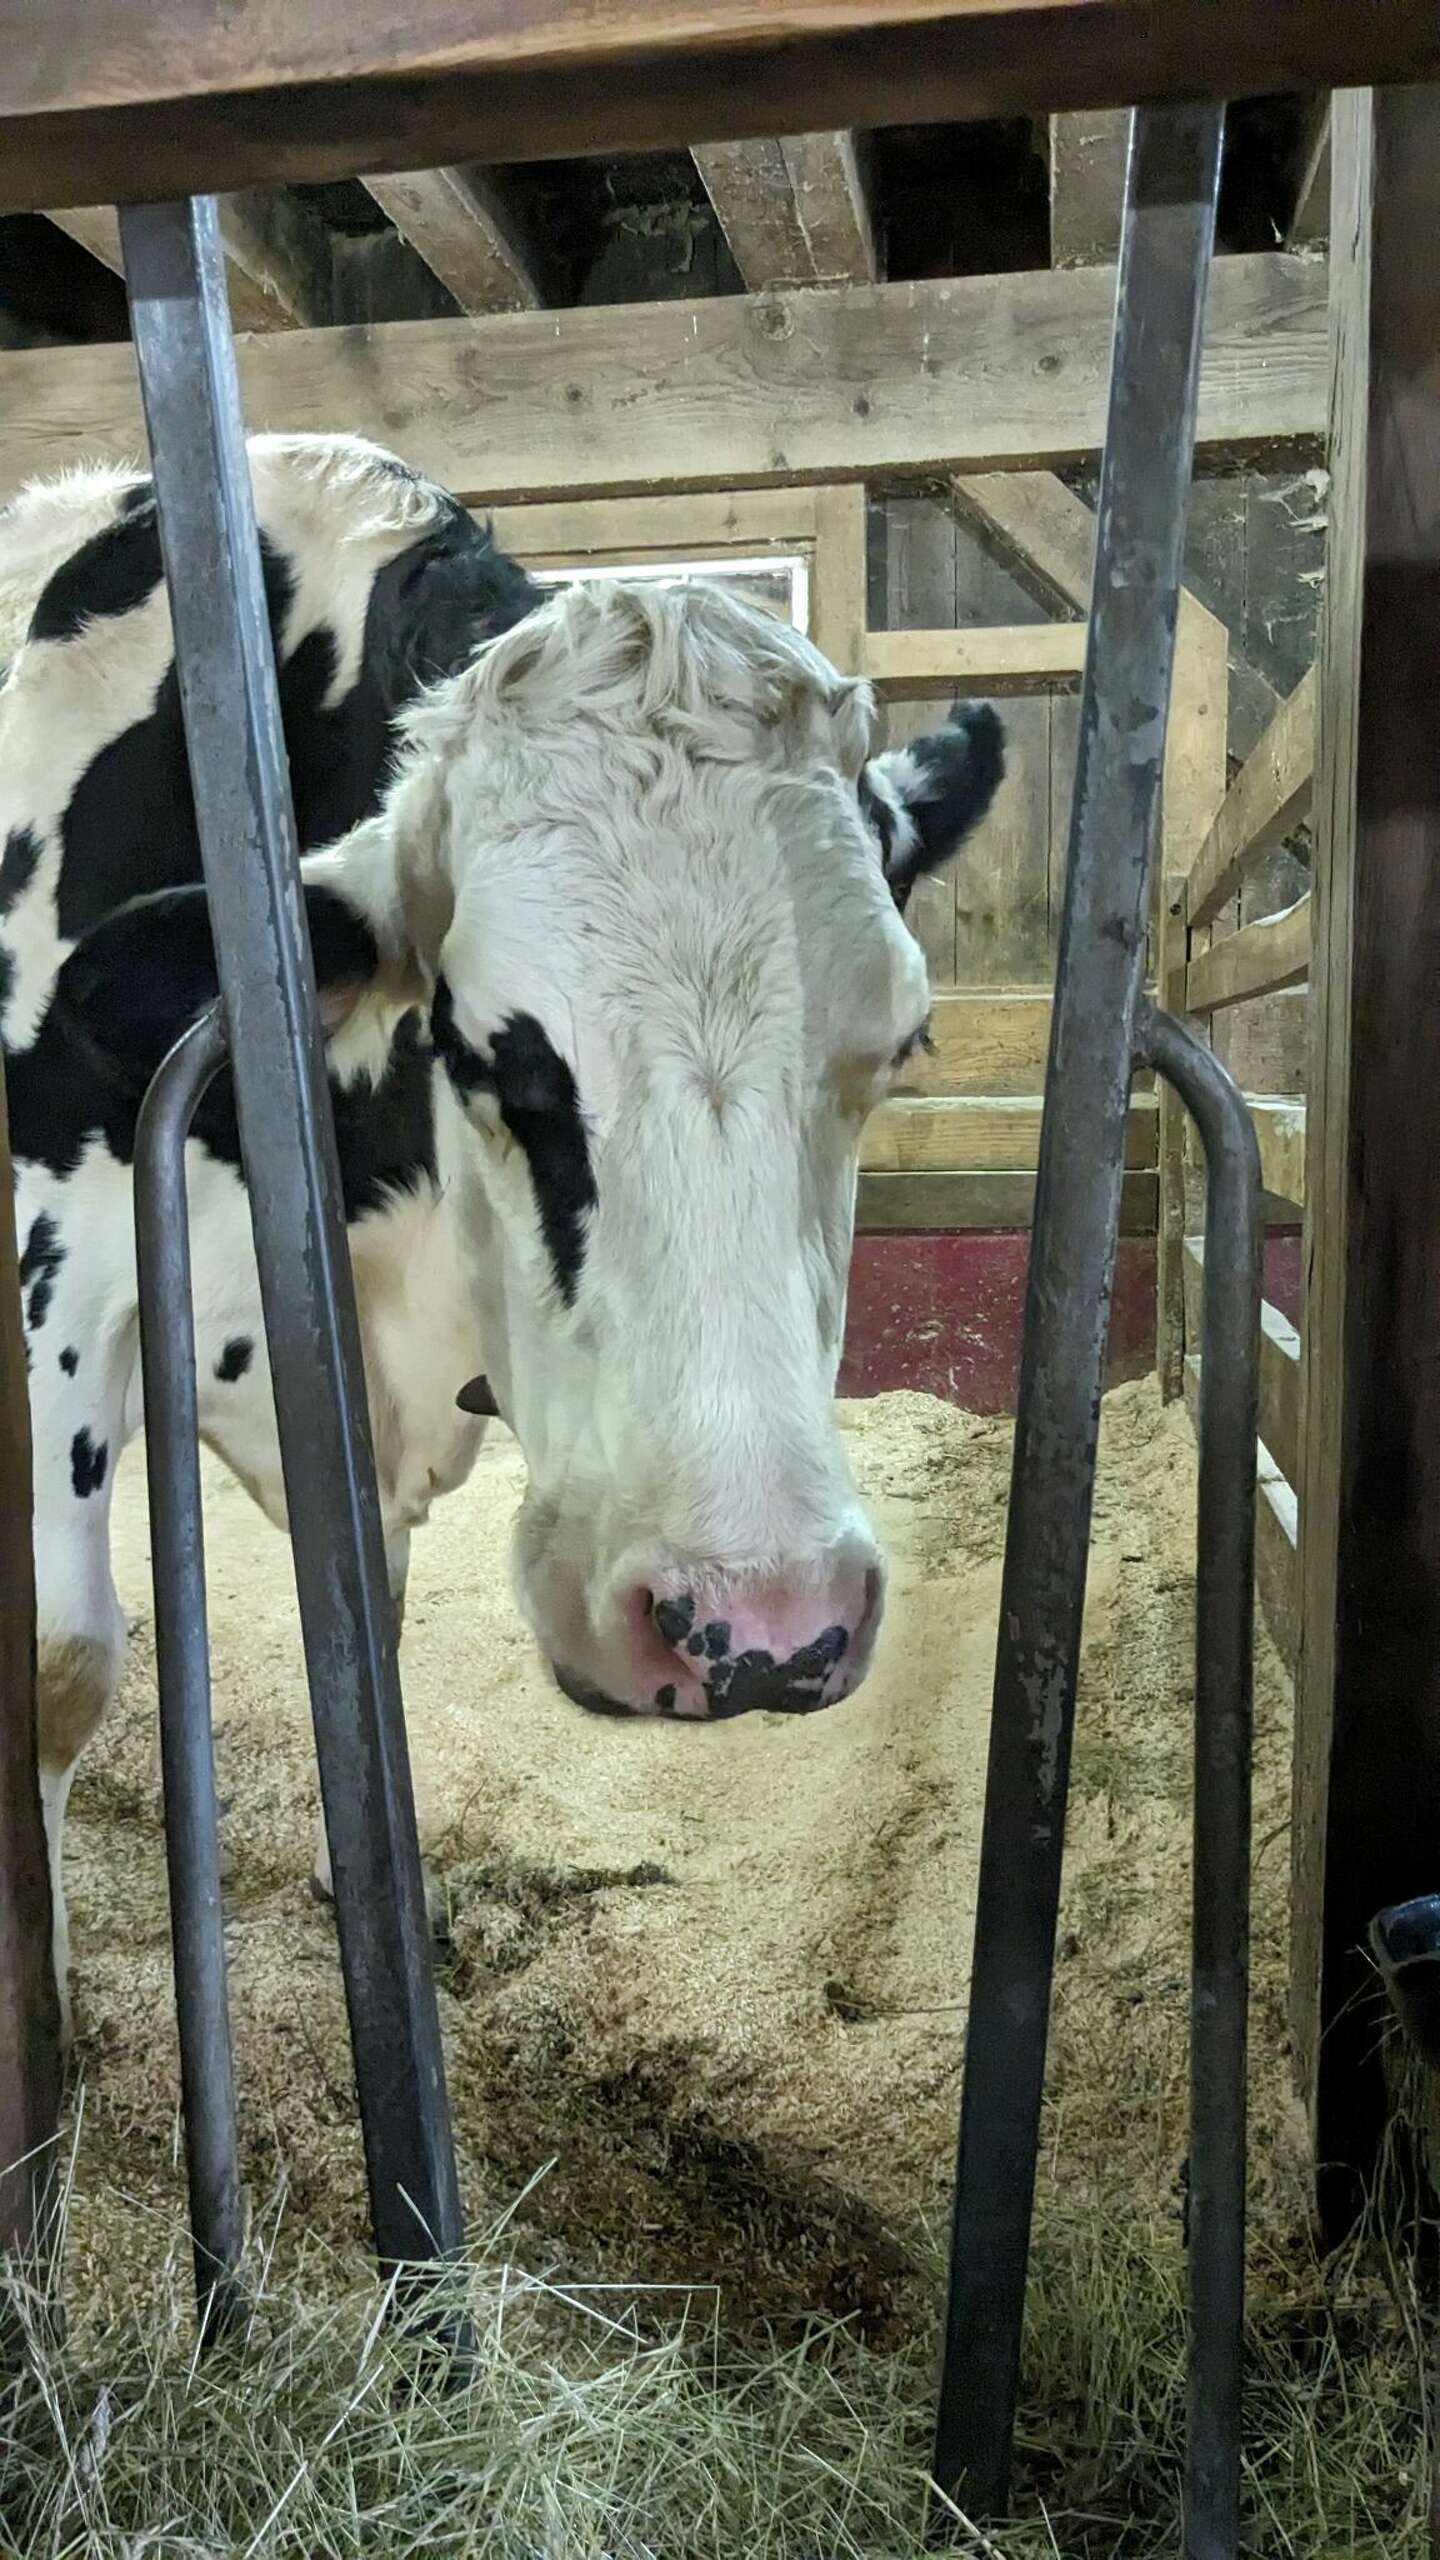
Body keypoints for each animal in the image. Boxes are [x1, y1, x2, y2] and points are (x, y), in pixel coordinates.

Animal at [0, 432, 1005, 2029]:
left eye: (896, 1044)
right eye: (491, 1059)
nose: (763, 1627)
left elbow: (369, 1632)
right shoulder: (57, 1270)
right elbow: (58, 1659)